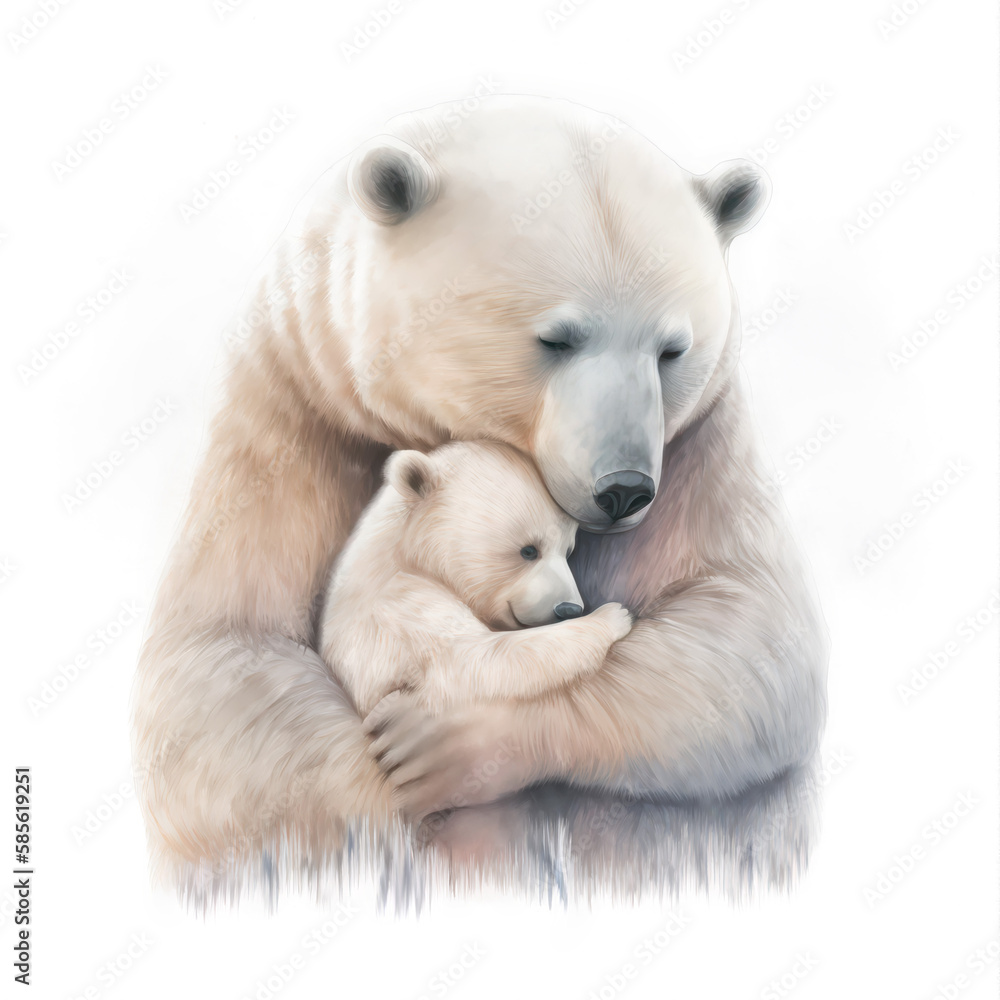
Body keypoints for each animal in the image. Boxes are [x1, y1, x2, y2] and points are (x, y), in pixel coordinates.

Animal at [318, 442, 633, 717]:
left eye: (568, 551)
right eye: (529, 550)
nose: (569, 609)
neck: (404, 557)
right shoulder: (404, 608)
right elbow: (475, 664)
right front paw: (614, 616)